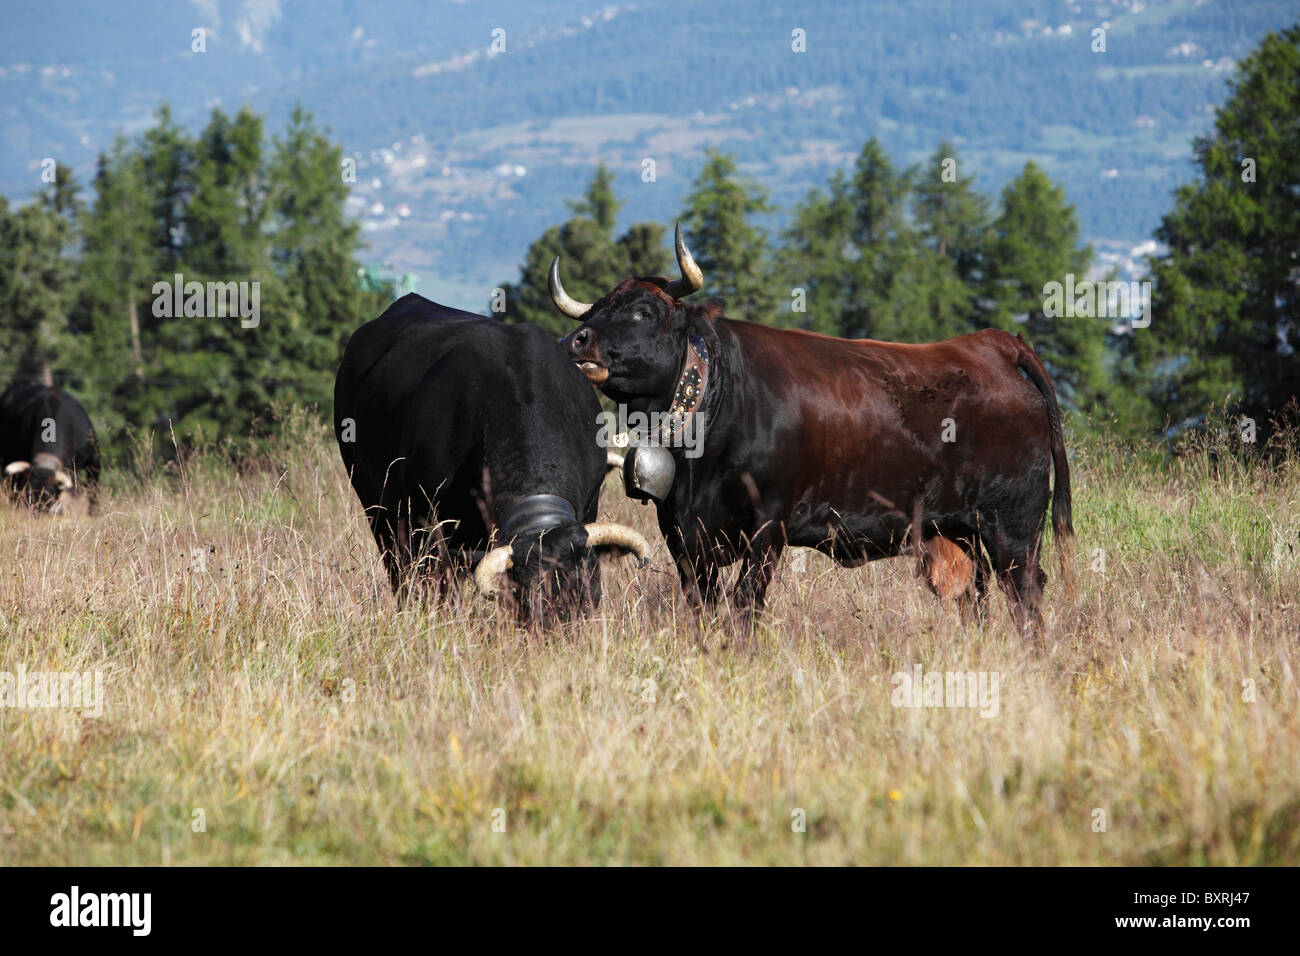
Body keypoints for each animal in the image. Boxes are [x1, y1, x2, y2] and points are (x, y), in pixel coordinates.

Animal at [0, 384, 100, 514]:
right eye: (28, 494)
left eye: (49, 493)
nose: (36, 512)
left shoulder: (94, 461)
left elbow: (93, 490)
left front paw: (94, 513)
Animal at [550, 225, 1073, 630]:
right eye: (594, 311)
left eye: (643, 312)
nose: (575, 339)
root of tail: (991, 344)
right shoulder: (682, 532)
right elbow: (703, 606)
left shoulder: (768, 525)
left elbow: (746, 605)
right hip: (959, 531)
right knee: (975, 595)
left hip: (1013, 525)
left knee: (1025, 593)